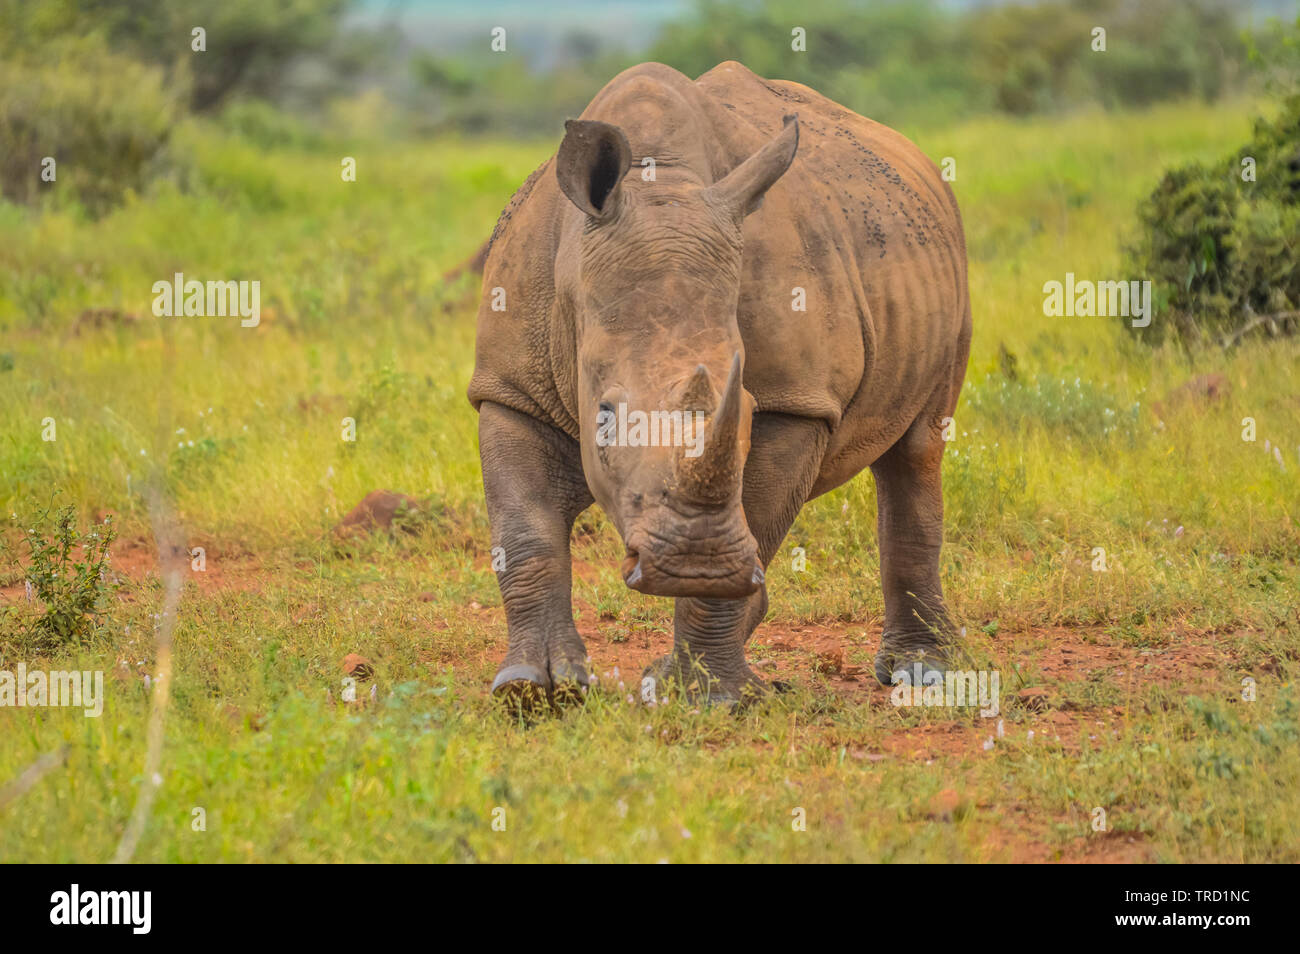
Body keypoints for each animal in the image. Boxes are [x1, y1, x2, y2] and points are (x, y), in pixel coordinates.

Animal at [468, 61, 971, 705]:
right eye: (603, 415)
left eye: (749, 412)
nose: (693, 561)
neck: (660, 181)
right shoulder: (509, 390)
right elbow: (525, 533)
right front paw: (535, 689)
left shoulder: (796, 400)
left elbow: (754, 515)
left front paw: (708, 696)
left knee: (918, 450)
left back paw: (925, 673)